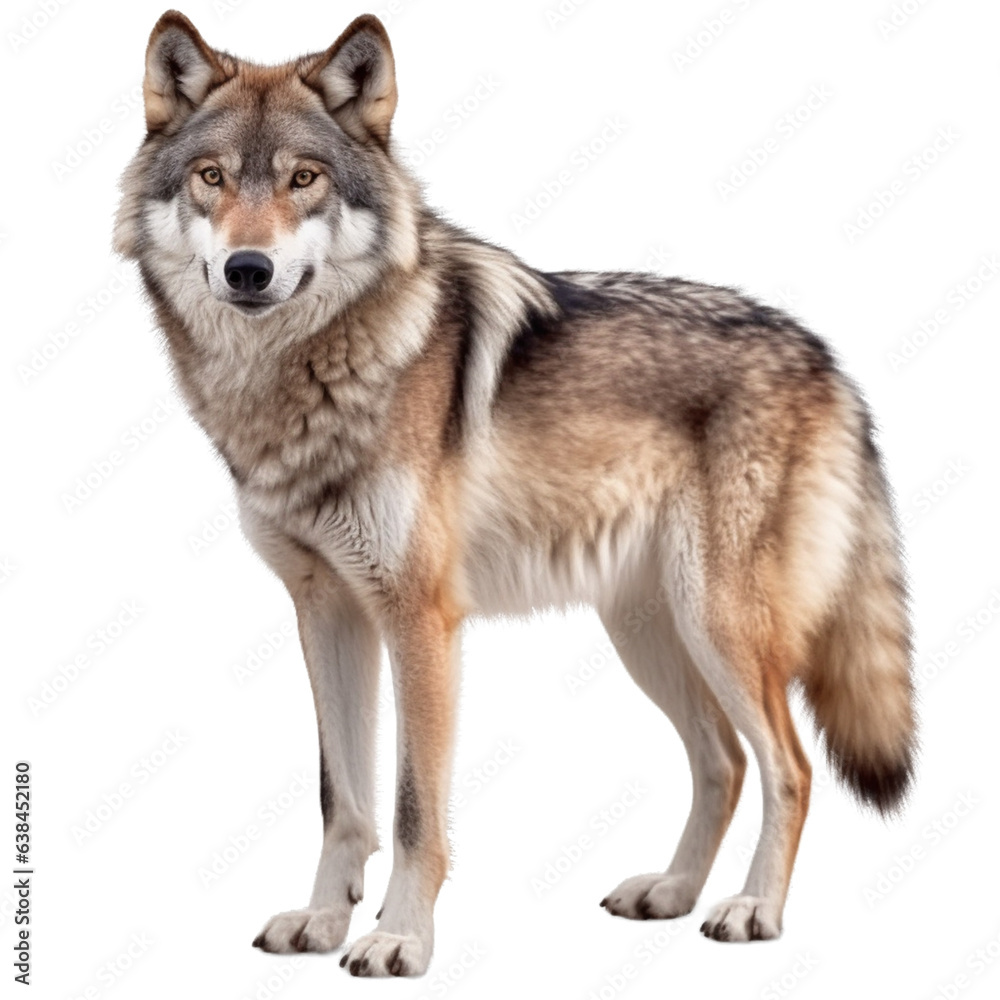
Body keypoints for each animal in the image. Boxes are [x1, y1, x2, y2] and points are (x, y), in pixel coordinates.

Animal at [114, 10, 916, 977]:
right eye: (213, 177)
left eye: (304, 179)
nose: (247, 269)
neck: (300, 383)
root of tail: (829, 359)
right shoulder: (325, 611)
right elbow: (342, 797)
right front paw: (321, 923)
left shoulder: (420, 620)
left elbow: (413, 808)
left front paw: (398, 939)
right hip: (649, 632)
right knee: (721, 762)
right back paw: (671, 892)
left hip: (718, 624)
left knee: (788, 766)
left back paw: (752, 908)